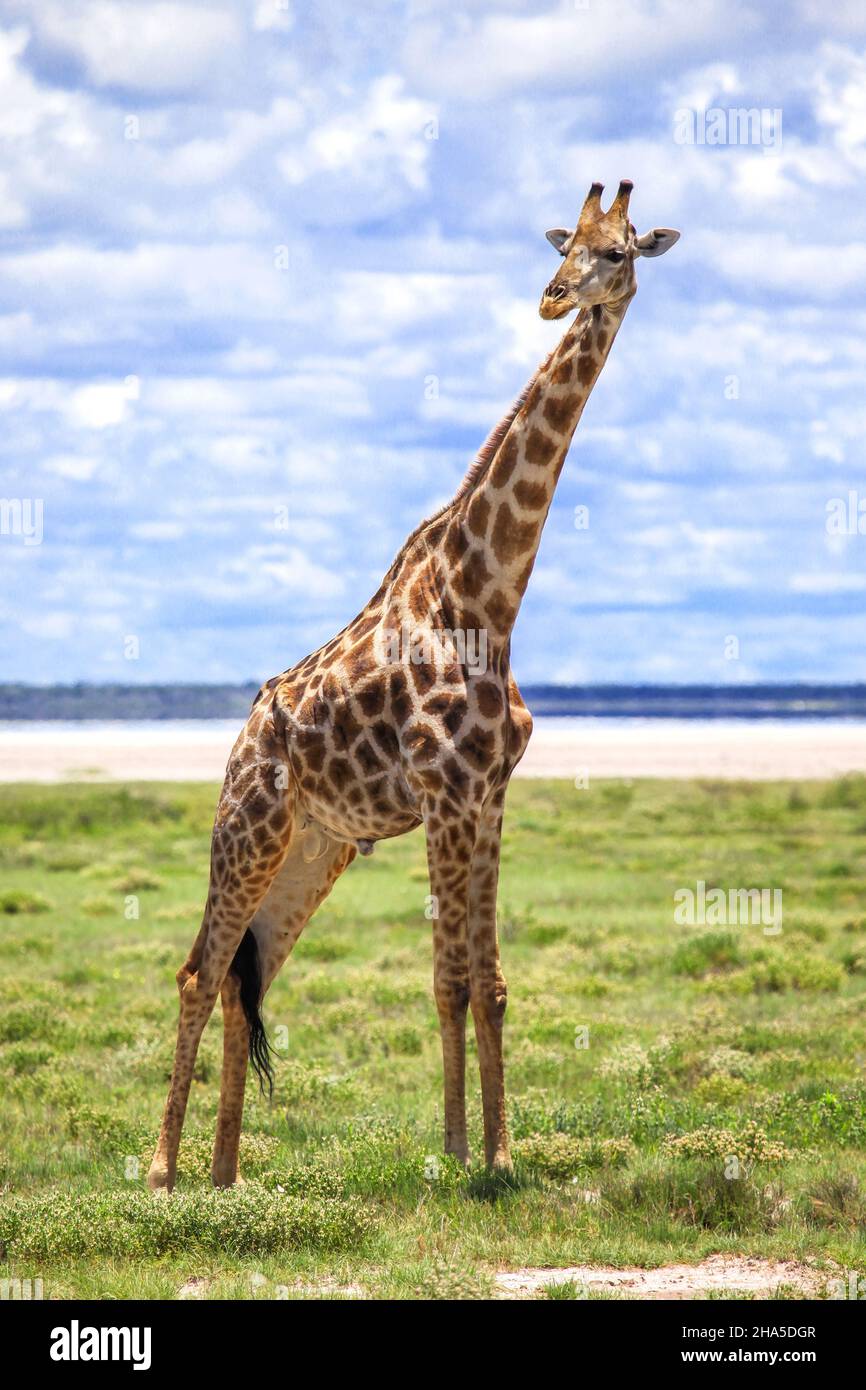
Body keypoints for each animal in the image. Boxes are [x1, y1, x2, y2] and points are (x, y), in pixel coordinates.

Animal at [148, 180, 679, 1191]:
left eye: (620, 252)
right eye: (566, 246)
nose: (554, 297)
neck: (489, 599)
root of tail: (243, 734)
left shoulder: (491, 796)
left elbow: (494, 983)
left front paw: (503, 1155)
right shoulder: (443, 795)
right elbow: (448, 981)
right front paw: (458, 1154)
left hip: (314, 850)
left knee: (244, 981)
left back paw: (227, 1180)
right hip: (247, 828)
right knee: (199, 971)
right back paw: (163, 1176)